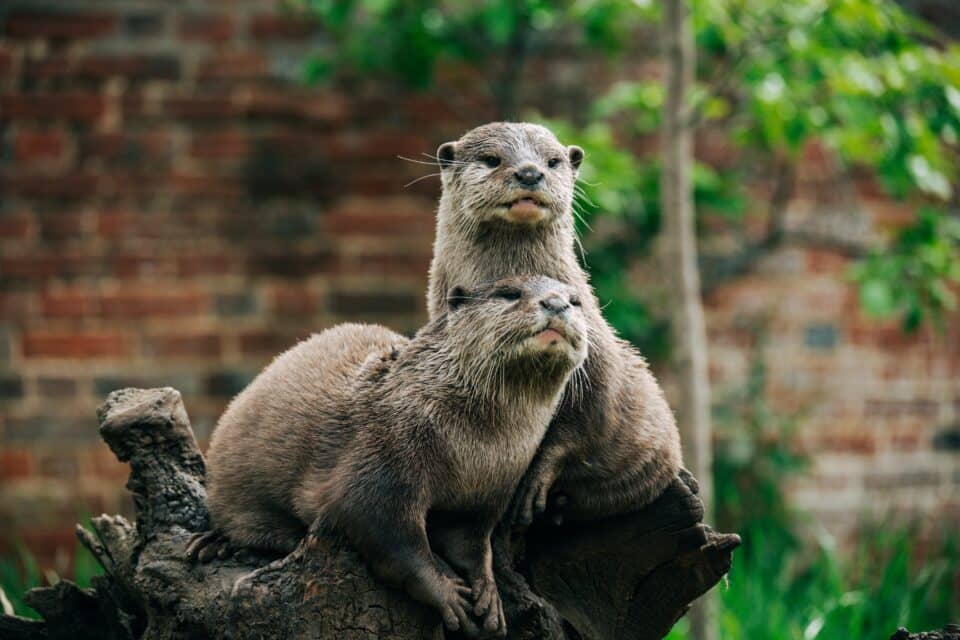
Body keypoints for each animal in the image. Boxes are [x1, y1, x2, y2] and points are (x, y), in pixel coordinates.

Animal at [198, 275, 587, 637]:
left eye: (576, 300)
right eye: (509, 293)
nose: (556, 303)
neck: (476, 448)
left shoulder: (484, 498)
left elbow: (473, 547)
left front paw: (489, 595)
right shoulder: (385, 455)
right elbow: (386, 531)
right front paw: (447, 594)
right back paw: (213, 544)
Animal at [428, 122, 683, 525]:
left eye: (552, 161)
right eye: (492, 159)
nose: (530, 172)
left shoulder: (597, 361)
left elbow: (584, 422)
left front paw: (533, 486)